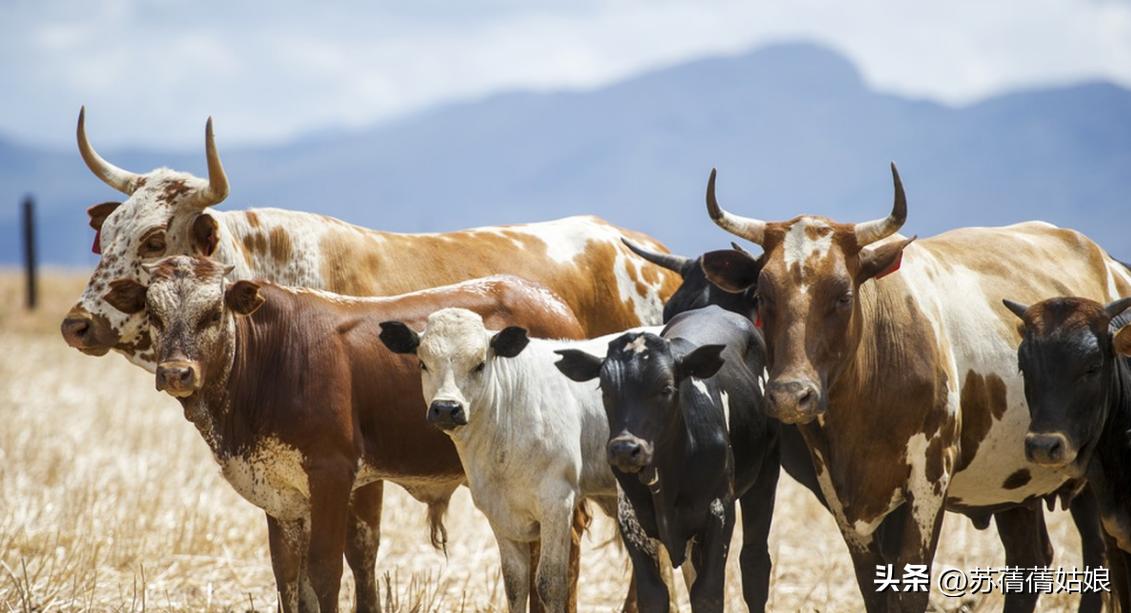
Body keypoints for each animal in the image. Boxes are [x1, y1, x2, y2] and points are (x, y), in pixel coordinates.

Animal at [104, 254, 592, 613]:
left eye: (211, 312)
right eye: (153, 312)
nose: (176, 373)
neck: (269, 359)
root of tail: (553, 302)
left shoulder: (333, 476)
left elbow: (325, 571)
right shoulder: (282, 495)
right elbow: (290, 577)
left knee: (563, 558)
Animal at [554, 307, 778, 613]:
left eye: (666, 388)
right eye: (605, 389)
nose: (625, 449)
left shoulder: (720, 514)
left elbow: (707, 594)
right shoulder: (632, 520)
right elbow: (653, 595)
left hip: (765, 475)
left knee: (755, 564)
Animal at [696, 166, 1131, 610]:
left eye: (843, 295)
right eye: (762, 294)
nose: (790, 395)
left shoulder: (929, 481)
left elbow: (909, 589)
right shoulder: (841, 496)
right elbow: (873, 587)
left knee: (1095, 556)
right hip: (1015, 487)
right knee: (1030, 559)